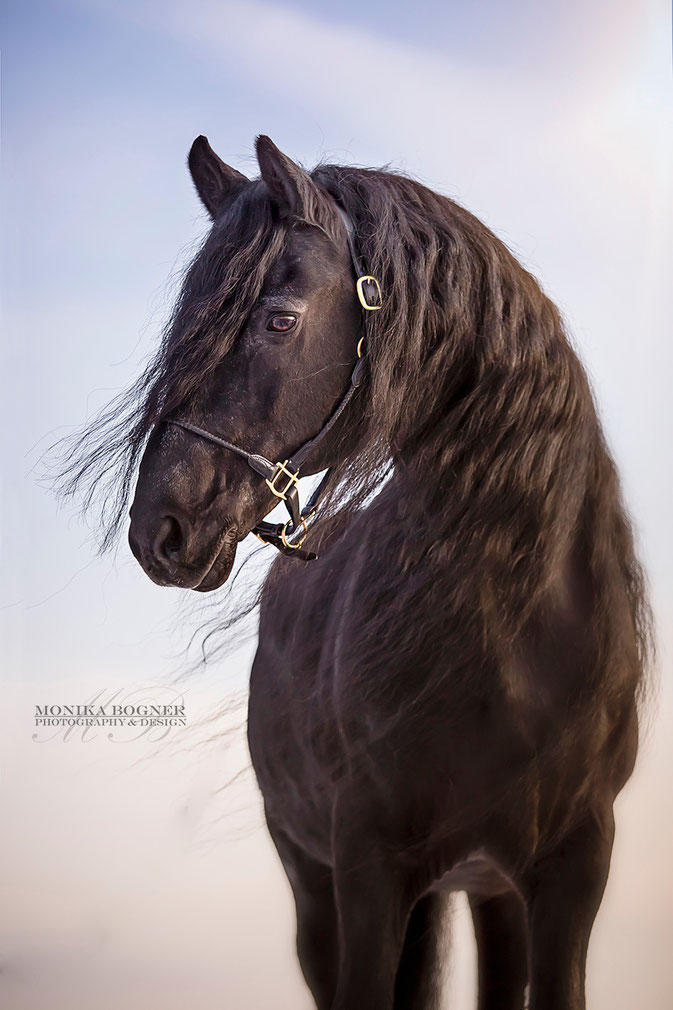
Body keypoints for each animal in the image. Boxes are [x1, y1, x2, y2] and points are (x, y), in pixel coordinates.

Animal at [64, 134, 651, 1010]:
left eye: (279, 320)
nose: (156, 530)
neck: (513, 642)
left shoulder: (571, 874)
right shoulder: (369, 871)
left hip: (490, 895)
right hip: (316, 887)